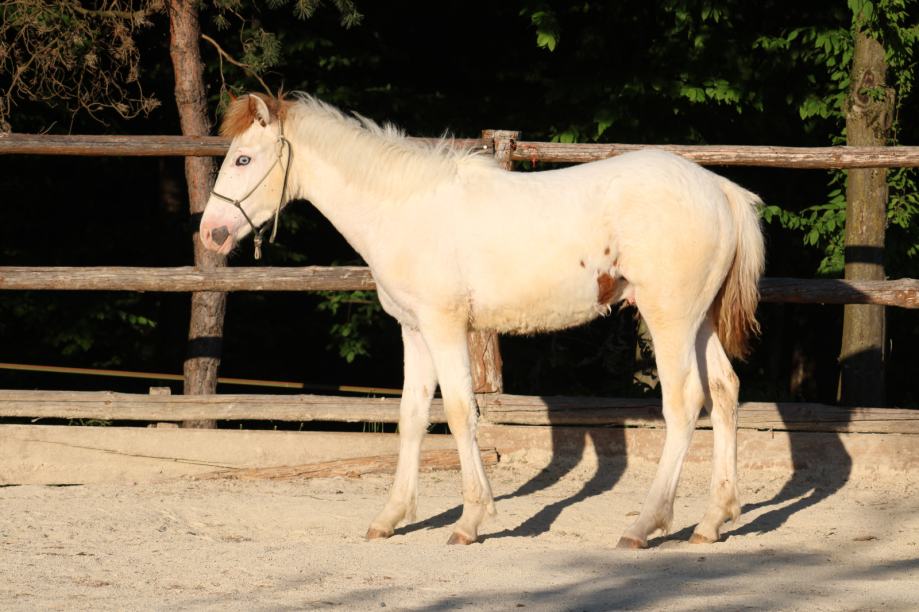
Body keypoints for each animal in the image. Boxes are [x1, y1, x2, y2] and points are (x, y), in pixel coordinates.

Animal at [200, 92, 765, 548]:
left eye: (244, 158)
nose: (211, 233)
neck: (406, 207)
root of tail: (719, 189)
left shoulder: (445, 327)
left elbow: (458, 413)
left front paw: (470, 521)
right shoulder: (414, 331)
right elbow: (411, 417)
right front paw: (390, 518)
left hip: (669, 317)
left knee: (685, 403)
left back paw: (645, 525)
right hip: (700, 321)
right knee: (725, 391)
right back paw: (712, 522)